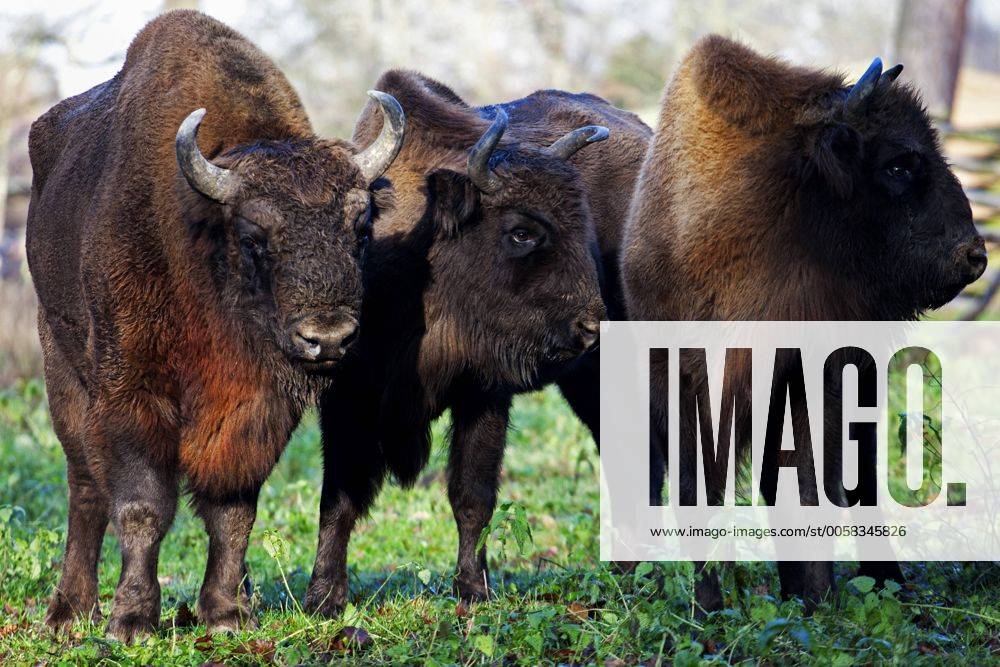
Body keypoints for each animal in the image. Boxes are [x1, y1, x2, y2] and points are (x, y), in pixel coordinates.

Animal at [26, 11, 404, 640]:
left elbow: (232, 510)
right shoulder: (133, 393)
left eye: (361, 227)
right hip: (62, 366)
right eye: (254, 236)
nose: (327, 337)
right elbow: (143, 505)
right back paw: (70, 610)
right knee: (85, 486)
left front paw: (225, 614)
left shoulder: (254, 412)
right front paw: (132, 620)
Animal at [304, 70, 651, 615]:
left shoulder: (484, 393)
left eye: (585, 224)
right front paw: (324, 598)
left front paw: (473, 590)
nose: (592, 327)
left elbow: (472, 495)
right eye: (522, 232)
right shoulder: (347, 398)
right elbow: (338, 497)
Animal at [621, 36, 986, 610]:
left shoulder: (816, 381)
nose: (974, 255)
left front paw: (814, 598)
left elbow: (811, 486)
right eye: (898, 165)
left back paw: (884, 583)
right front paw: (711, 607)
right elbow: (698, 493)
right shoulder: (684, 387)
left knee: (858, 484)